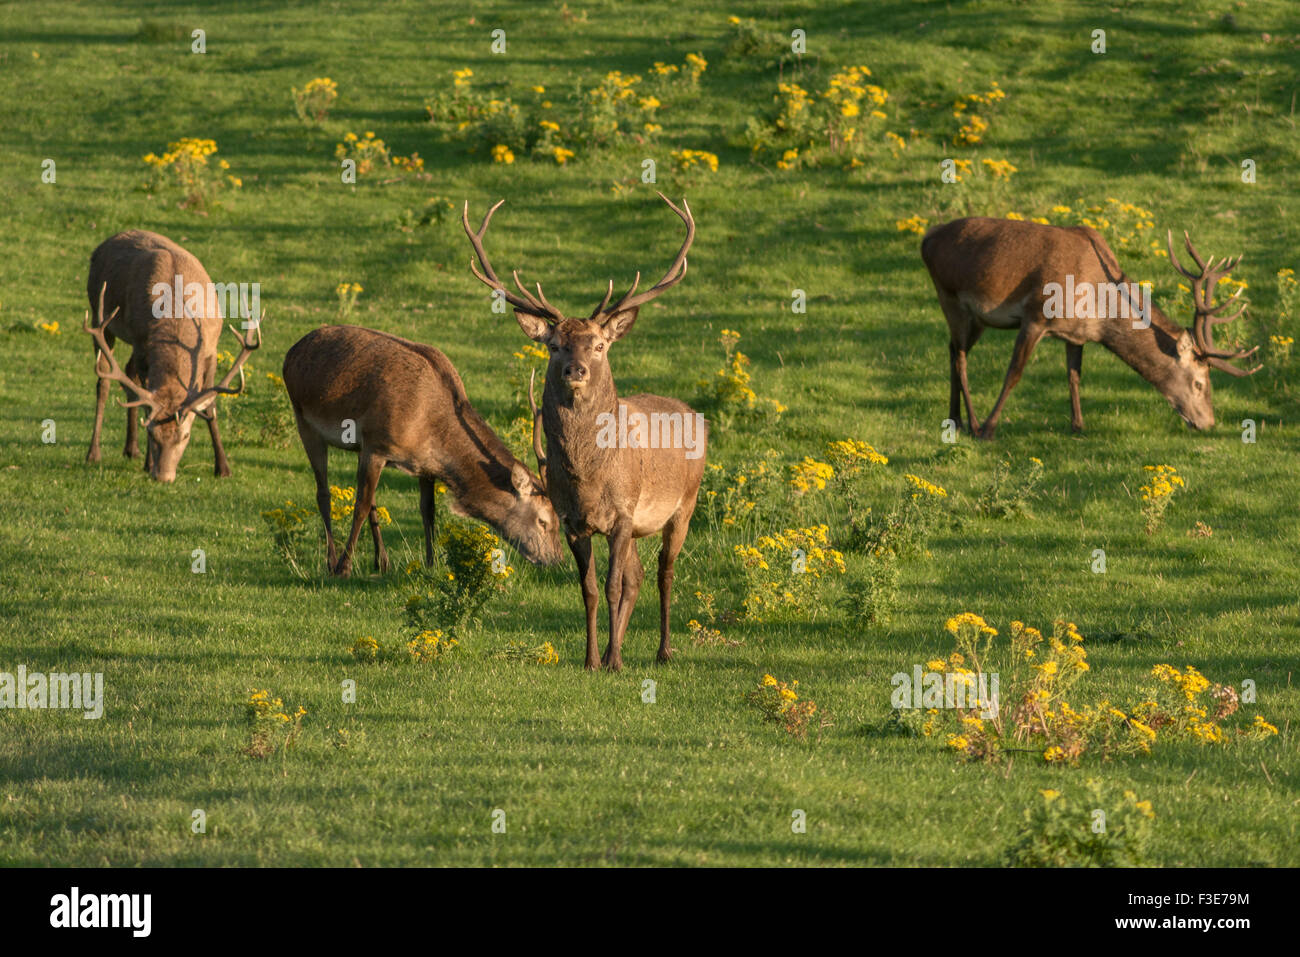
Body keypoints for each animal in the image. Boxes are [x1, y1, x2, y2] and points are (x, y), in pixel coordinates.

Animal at [83, 230, 261, 482]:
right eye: (151, 433)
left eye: (185, 436)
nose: (162, 476)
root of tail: (106, 242)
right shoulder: (142, 345)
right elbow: (147, 401)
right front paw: (148, 462)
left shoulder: (211, 349)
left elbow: (209, 405)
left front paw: (223, 467)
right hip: (100, 319)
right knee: (105, 382)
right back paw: (94, 453)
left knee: (127, 372)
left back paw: (131, 449)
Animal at [281, 324, 565, 577]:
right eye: (543, 521)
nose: (556, 559)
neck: (429, 426)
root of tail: (291, 352)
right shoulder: (377, 446)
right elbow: (359, 506)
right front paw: (344, 567)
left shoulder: (422, 464)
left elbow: (427, 511)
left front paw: (431, 563)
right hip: (304, 420)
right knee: (324, 493)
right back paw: (331, 561)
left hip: (357, 445)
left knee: (370, 499)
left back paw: (382, 561)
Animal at [463, 193, 708, 671]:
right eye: (555, 345)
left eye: (598, 345)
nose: (575, 369)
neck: (589, 479)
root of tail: (692, 413)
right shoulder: (574, 522)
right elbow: (591, 589)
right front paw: (594, 658)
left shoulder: (624, 513)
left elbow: (612, 587)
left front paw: (612, 661)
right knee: (638, 575)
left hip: (684, 505)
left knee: (665, 573)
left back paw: (663, 650)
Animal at [920, 217, 1260, 438]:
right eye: (1200, 383)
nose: (1209, 423)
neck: (1098, 310)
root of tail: (926, 239)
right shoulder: (1035, 317)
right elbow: (1014, 374)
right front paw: (991, 428)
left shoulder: (1075, 334)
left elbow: (1074, 377)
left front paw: (1078, 425)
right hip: (950, 296)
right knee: (960, 357)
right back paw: (975, 424)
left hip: (976, 317)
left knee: (951, 350)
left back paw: (956, 419)